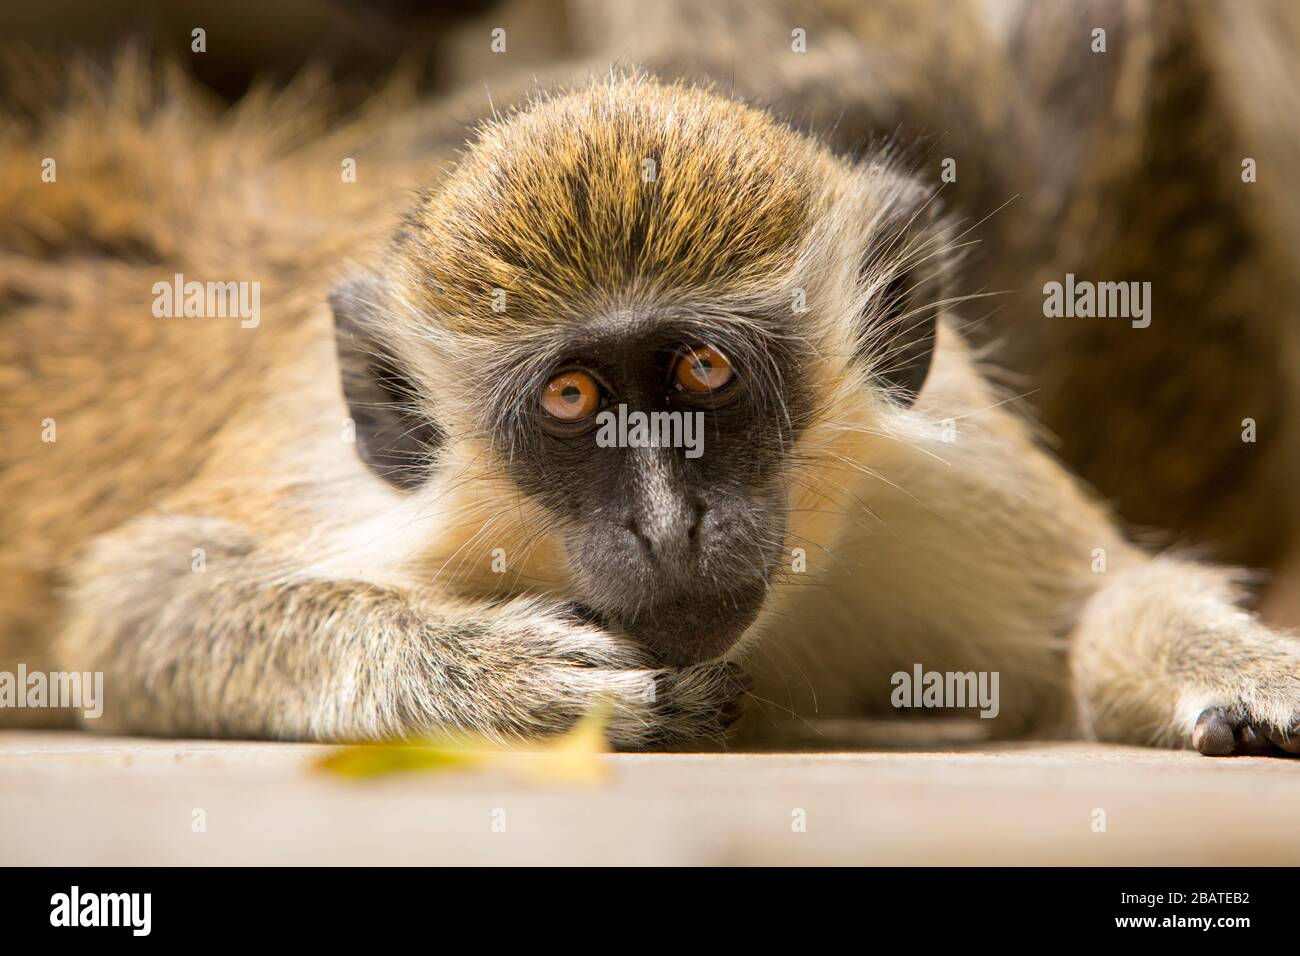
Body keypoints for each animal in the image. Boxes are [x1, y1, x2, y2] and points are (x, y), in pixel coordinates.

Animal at [2, 1, 1299, 755]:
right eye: (572, 400)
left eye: (704, 370)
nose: (670, 524)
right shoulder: (339, 490)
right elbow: (140, 607)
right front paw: (526, 680)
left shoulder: (954, 476)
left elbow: (1105, 598)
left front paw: (1249, 668)